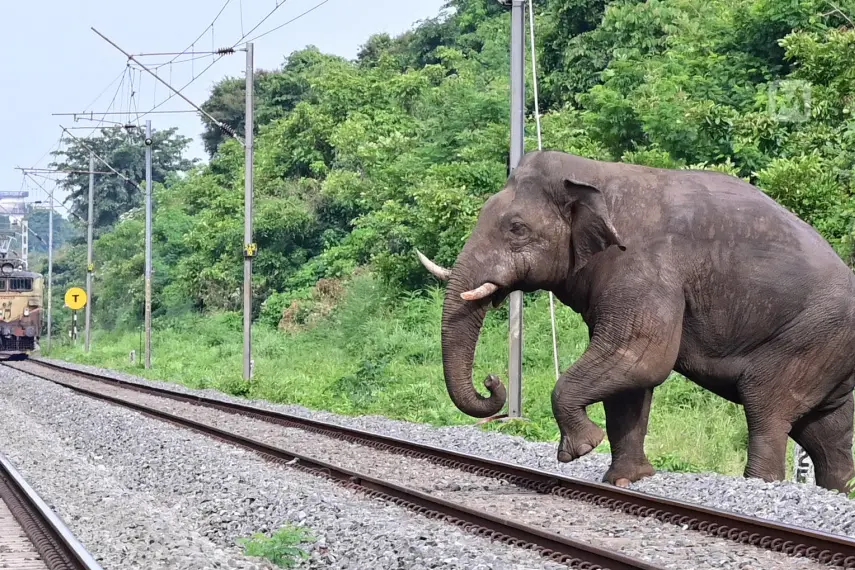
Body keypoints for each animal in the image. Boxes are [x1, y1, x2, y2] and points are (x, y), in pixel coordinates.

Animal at [417, 150, 855, 493]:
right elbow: (630, 382)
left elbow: (638, 357)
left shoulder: (644, 269)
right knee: (826, 432)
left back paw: (759, 484)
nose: (492, 381)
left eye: (517, 228)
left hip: (811, 338)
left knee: (767, 405)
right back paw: (836, 490)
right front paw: (627, 480)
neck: (592, 173)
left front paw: (581, 448)